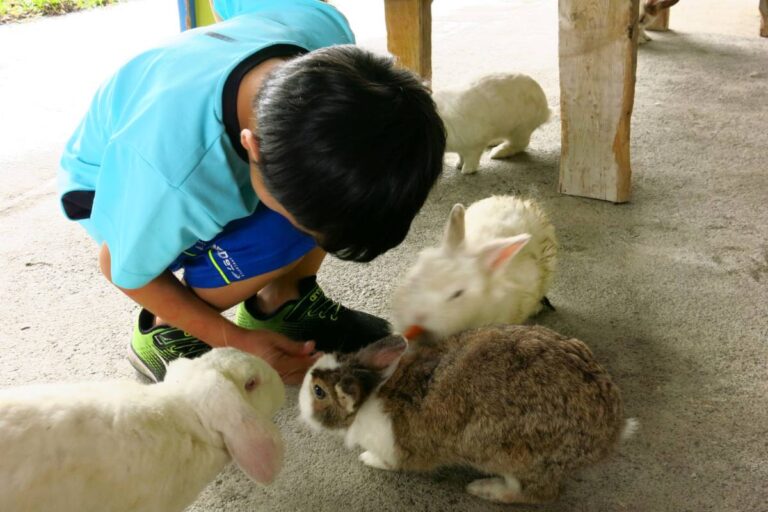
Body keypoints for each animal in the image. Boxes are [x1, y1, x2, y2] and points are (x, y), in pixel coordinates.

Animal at [299, 325, 636, 504]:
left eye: (318, 392)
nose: (299, 402)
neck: (369, 394)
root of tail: (610, 433)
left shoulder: (397, 450)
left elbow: (390, 462)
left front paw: (366, 459)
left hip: (507, 453)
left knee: (534, 493)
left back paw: (483, 489)